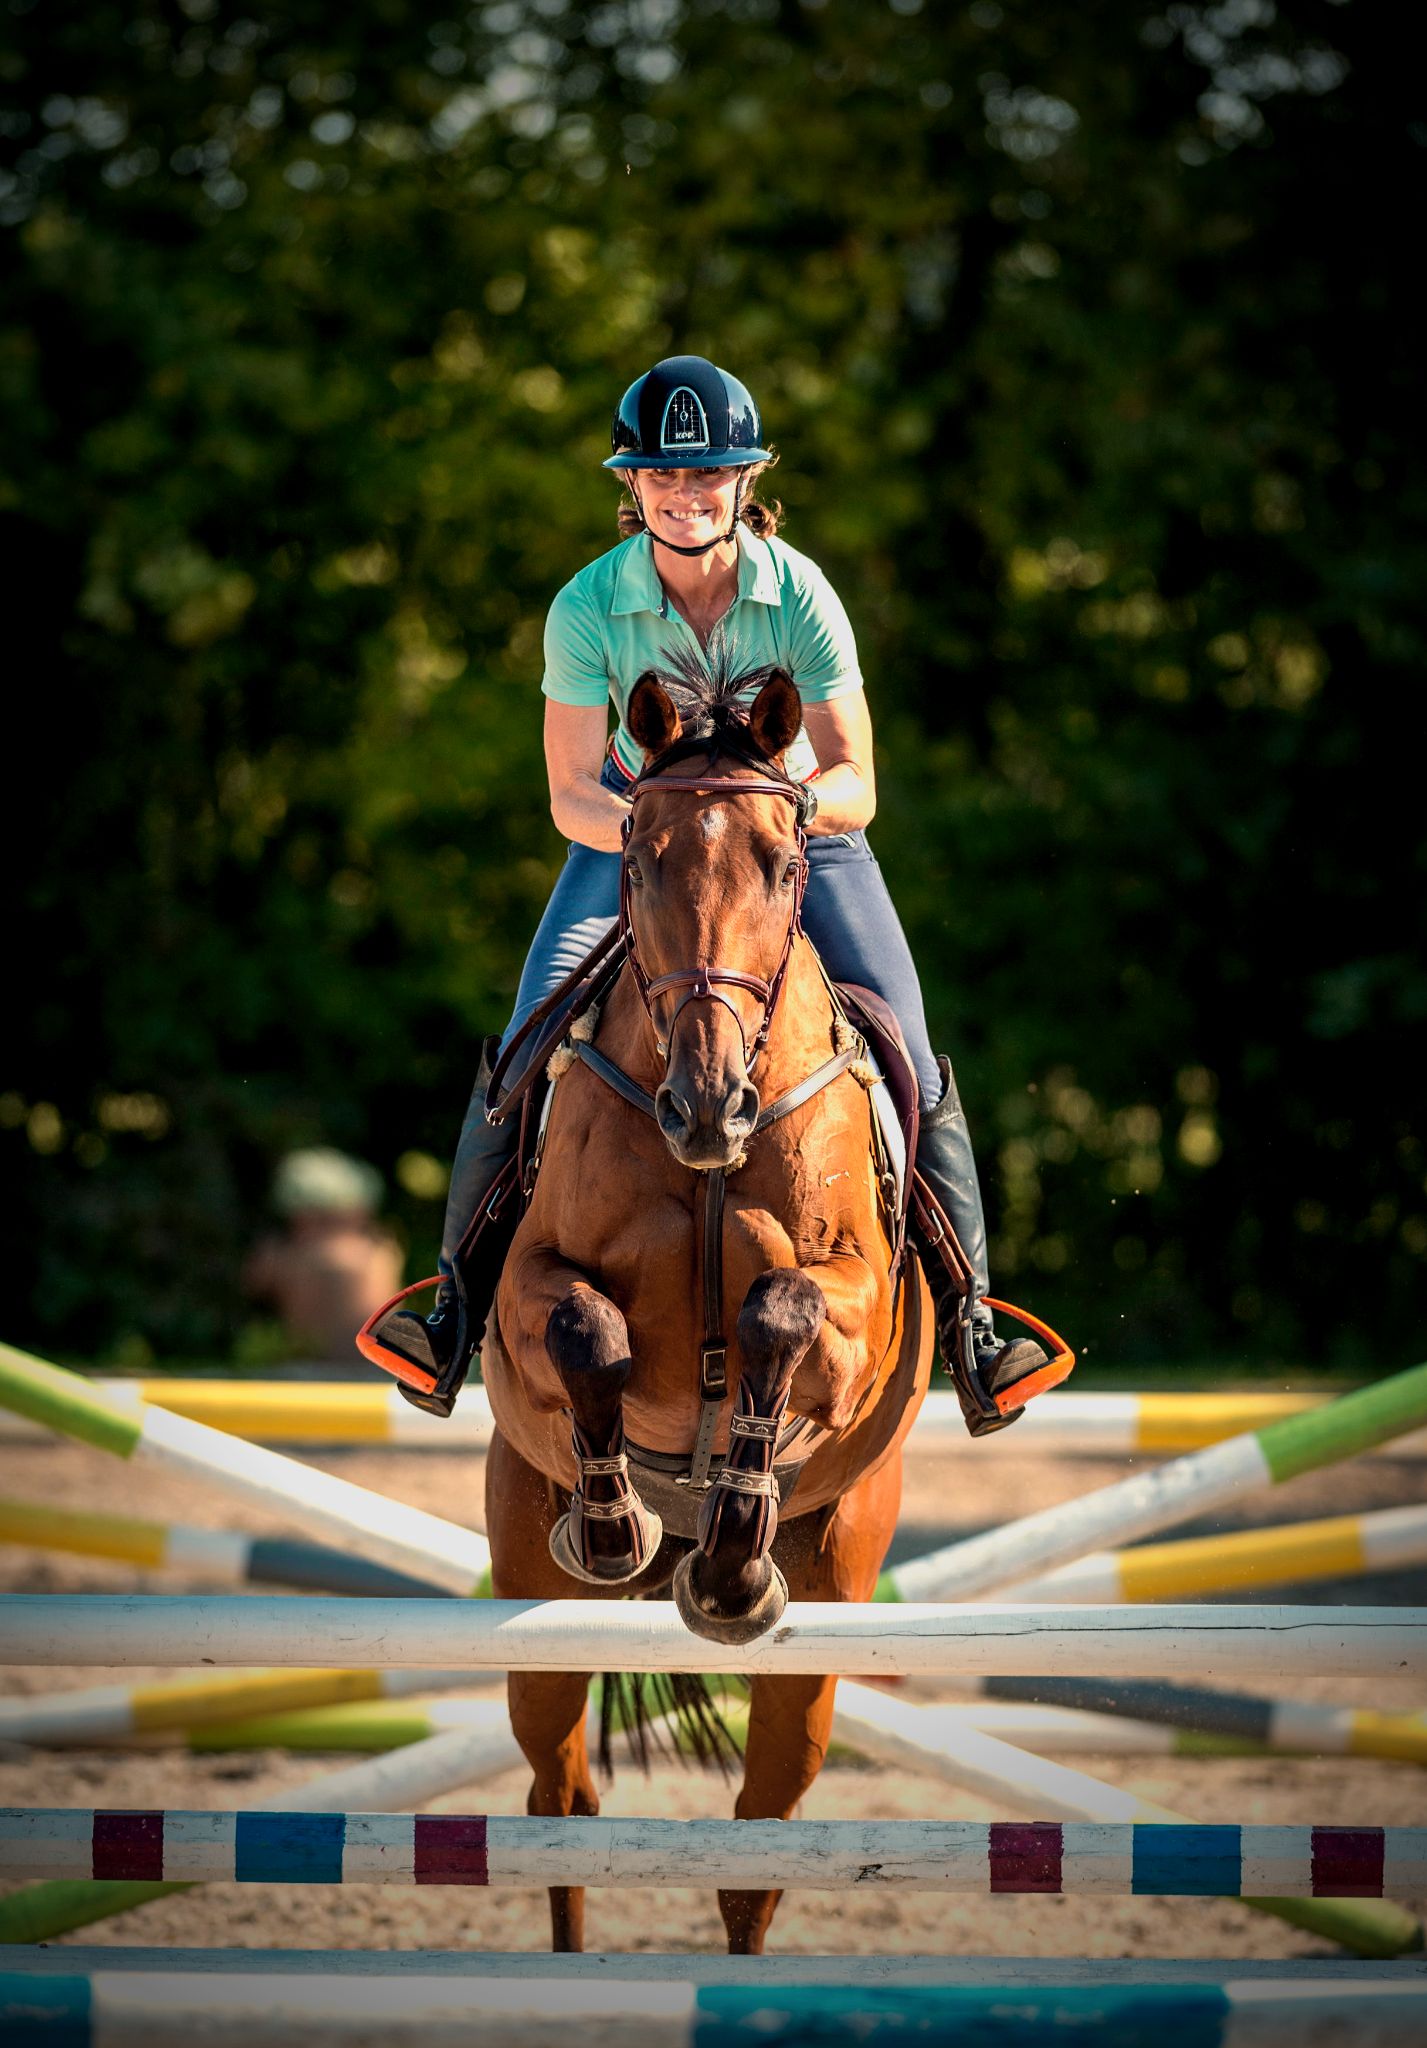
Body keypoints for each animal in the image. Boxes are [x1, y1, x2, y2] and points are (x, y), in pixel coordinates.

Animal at [478, 652, 935, 1955]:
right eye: (635, 856)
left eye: (783, 861)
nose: (704, 1102)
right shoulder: (528, 1289)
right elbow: (586, 1327)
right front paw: (617, 1518)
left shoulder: (855, 1308)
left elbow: (780, 1312)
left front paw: (730, 1540)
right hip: (528, 1587)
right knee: (563, 1802)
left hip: (828, 1611)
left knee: (756, 1847)